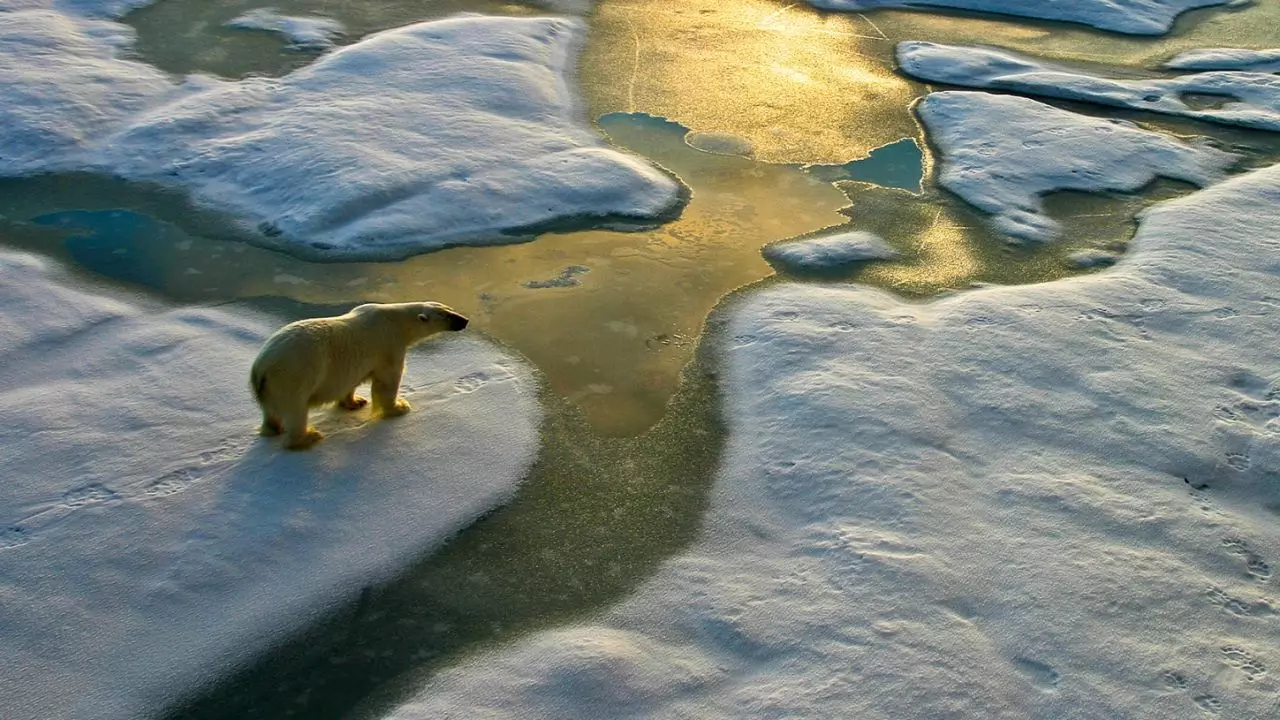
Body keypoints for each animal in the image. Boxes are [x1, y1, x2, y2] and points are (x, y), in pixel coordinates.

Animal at [249, 301, 471, 448]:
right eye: (446, 315)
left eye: (450, 309)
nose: (465, 320)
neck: (396, 321)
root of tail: (260, 367)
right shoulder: (388, 345)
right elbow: (387, 380)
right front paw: (399, 407)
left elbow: (351, 382)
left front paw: (356, 402)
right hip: (292, 376)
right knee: (296, 411)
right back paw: (309, 437)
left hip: (269, 388)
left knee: (270, 412)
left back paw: (273, 429)